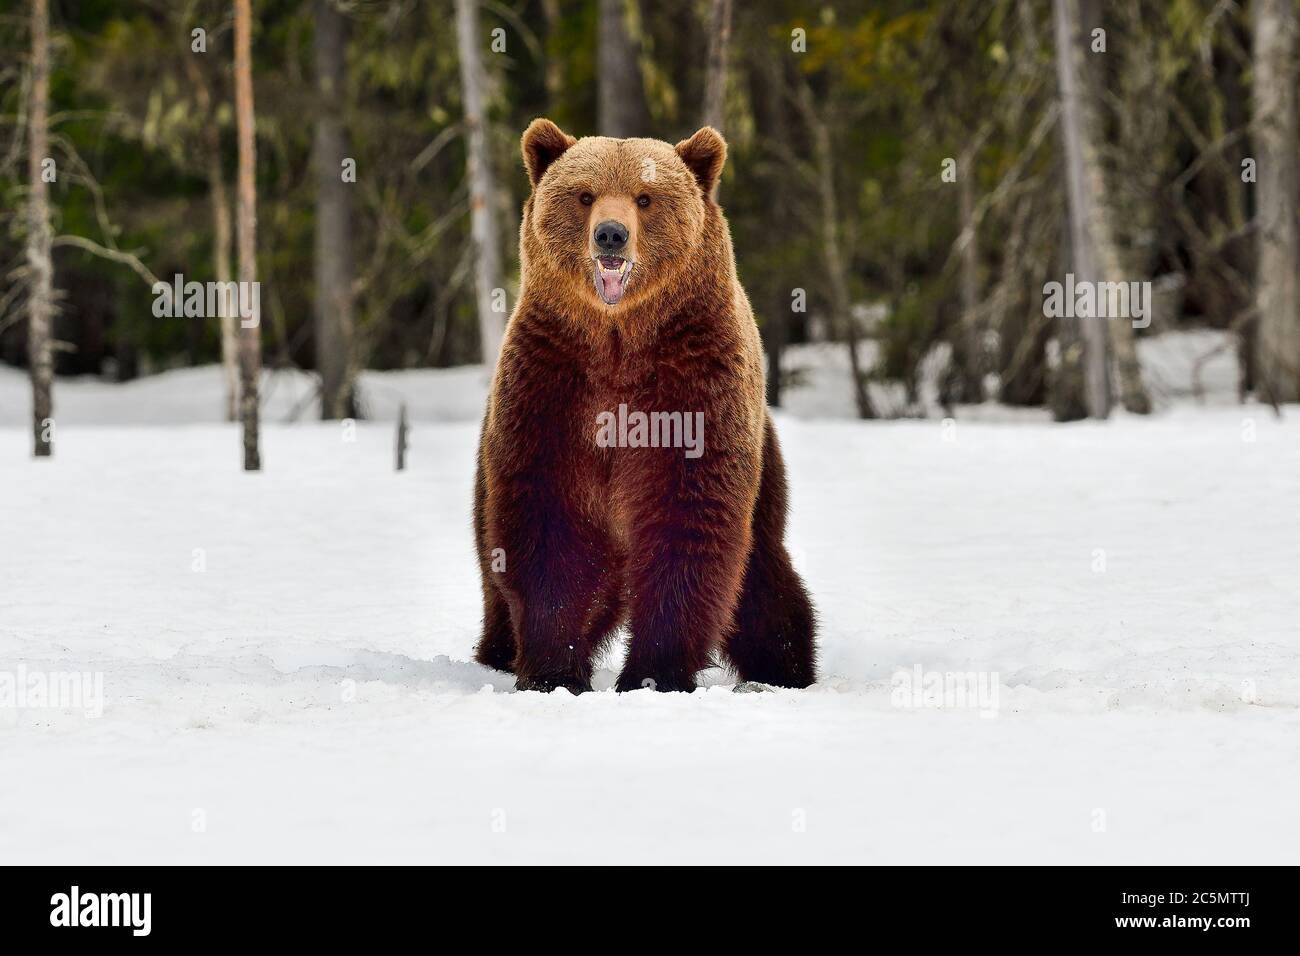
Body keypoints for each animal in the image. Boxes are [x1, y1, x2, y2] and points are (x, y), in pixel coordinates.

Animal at [472, 118, 816, 693]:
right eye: (584, 195)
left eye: (646, 197)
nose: (611, 234)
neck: (618, 342)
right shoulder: (551, 388)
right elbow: (548, 524)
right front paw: (554, 670)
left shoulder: (693, 390)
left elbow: (689, 521)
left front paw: (654, 674)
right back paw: (497, 653)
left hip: (765, 472)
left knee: (763, 578)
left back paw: (785, 667)